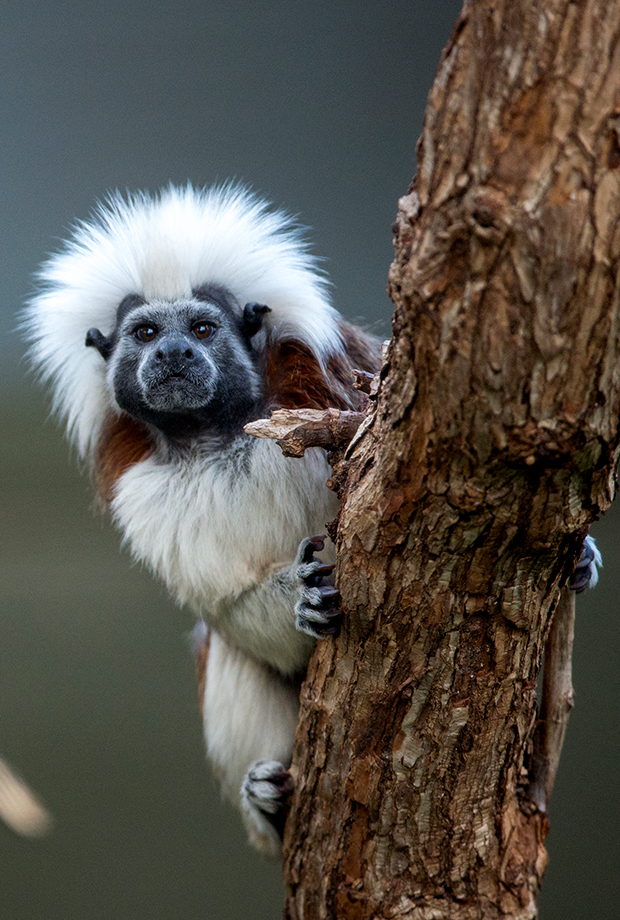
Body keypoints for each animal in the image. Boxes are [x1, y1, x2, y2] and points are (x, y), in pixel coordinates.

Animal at [25, 183, 602, 858]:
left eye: (201, 328)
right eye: (144, 333)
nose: (172, 353)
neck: (217, 436)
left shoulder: (331, 381)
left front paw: (582, 558)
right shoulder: (140, 488)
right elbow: (230, 608)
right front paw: (301, 601)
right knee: (224, 648)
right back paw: (269, 805)